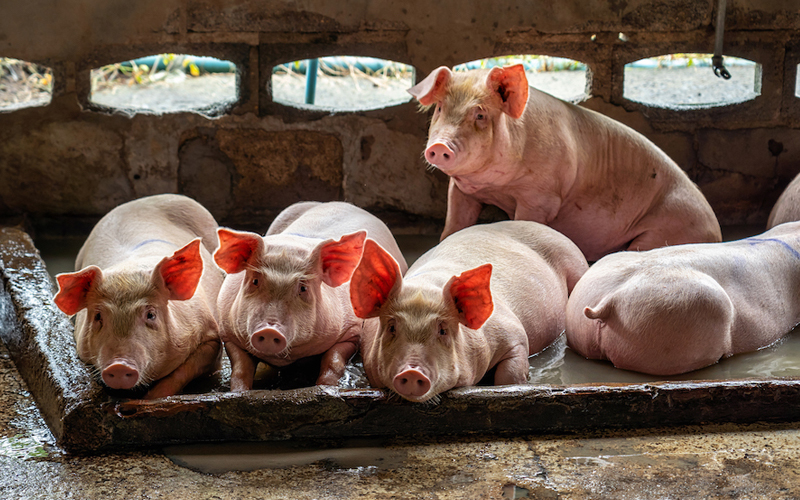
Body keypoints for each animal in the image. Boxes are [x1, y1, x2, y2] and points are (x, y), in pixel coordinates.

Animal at [53, 194, 224, 399]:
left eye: (150, 314)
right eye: (98, 316)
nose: (119, 366)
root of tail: (145, 199)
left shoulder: (211, 336)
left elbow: (183, 371)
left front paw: (148, 398)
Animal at [214, 201, 408, 390]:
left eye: (303, 288)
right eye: (255, 281)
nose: (269, 330)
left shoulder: (350, 332)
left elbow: (333, 363)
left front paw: (325, 387)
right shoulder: (228, 333)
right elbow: (240, 370)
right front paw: (238, 392)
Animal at [349, 220, 588, 403]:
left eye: (443, 330)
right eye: (391, 327)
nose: (411, 371)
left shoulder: (515, 334)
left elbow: (509, 376)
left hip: (576, 263)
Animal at [408, 64, 722, 261]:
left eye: (480, 114)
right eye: (440, 108)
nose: (439, 146)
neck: (497, 188)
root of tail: (716, 232)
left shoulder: (542, 197)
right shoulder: (462, 190)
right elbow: (454, 224)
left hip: (666, 230)